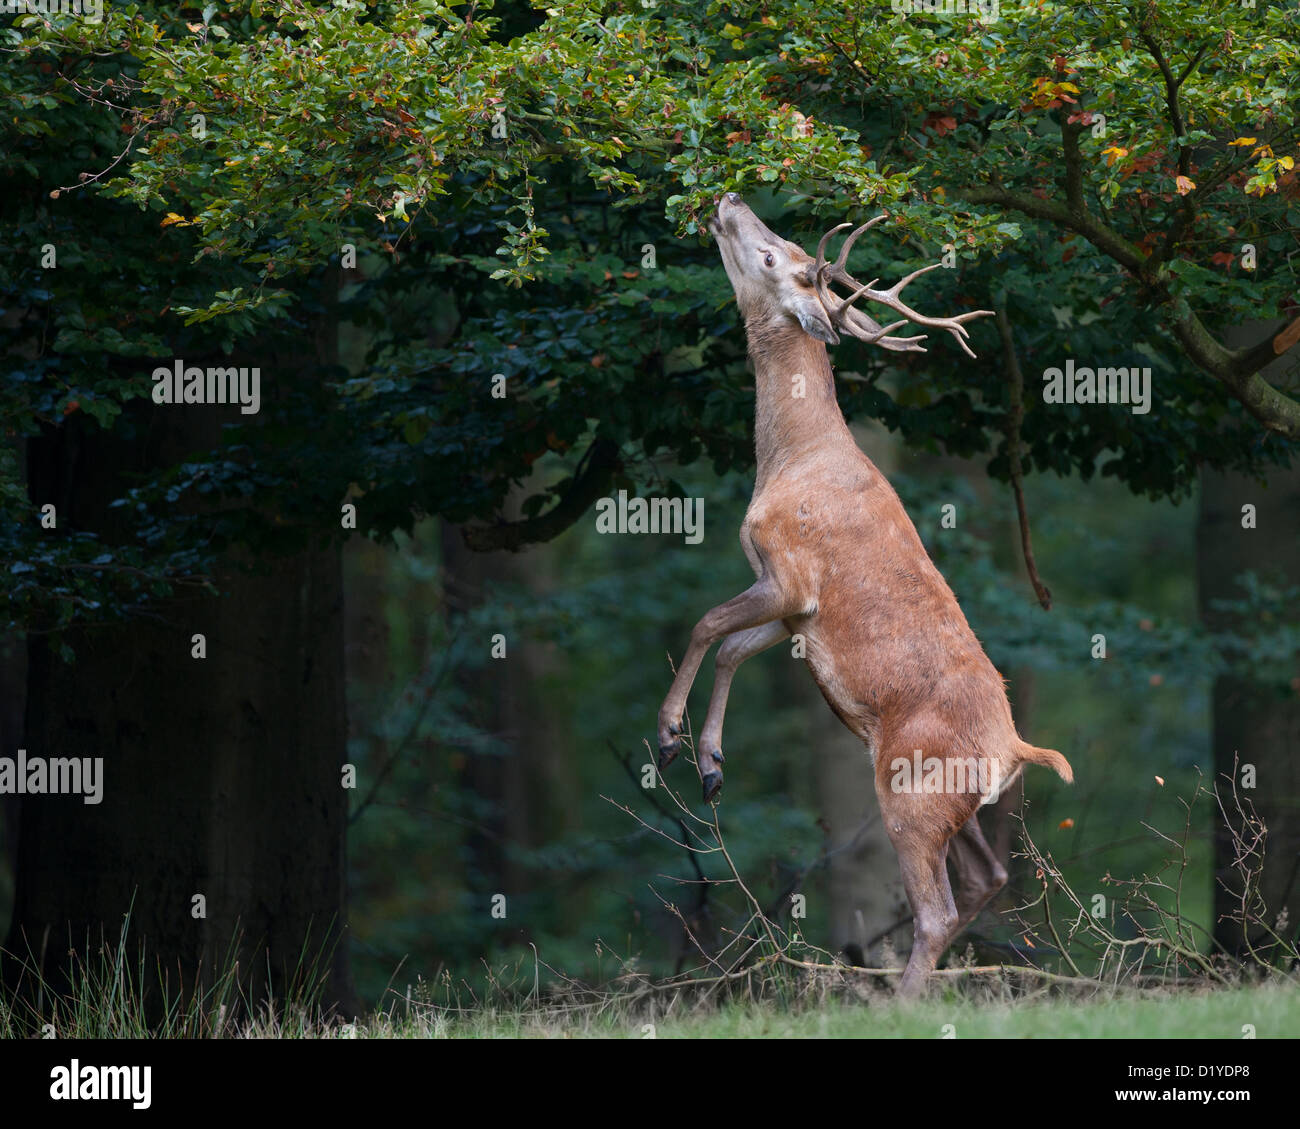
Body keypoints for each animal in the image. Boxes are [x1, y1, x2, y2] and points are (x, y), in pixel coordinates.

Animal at [655, 193, 1073, 996]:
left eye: (771, 256)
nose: (729, 199)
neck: (791, 457)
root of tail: (1015, 747)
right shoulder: (793, 607)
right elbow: (730, 646)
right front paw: (713, 766)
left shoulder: (790, 572)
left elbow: (704, 624)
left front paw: (667, 738)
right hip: (957, 807)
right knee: (987, 878)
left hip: (910, 792)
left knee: (938, 908)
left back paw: (898, 1002)